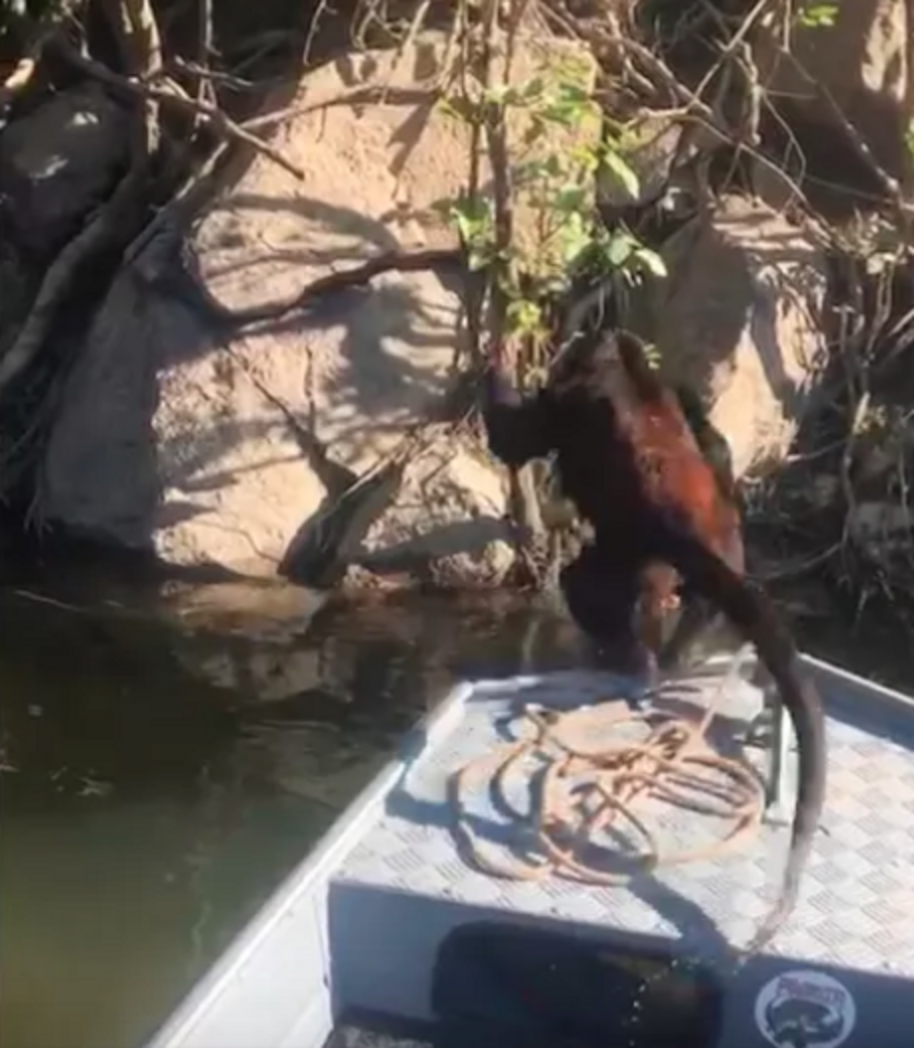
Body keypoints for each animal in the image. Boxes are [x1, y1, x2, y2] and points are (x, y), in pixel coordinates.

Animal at [480, 326, 826, 954]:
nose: (570, 352)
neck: (625, 369)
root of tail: (693, 534)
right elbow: (711, 438)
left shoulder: (570, 401)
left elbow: (515, 440)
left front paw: (496, 362)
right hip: (713, 555)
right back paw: (674, 650)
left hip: (646, 557)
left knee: (587, 581)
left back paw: (634, 656)